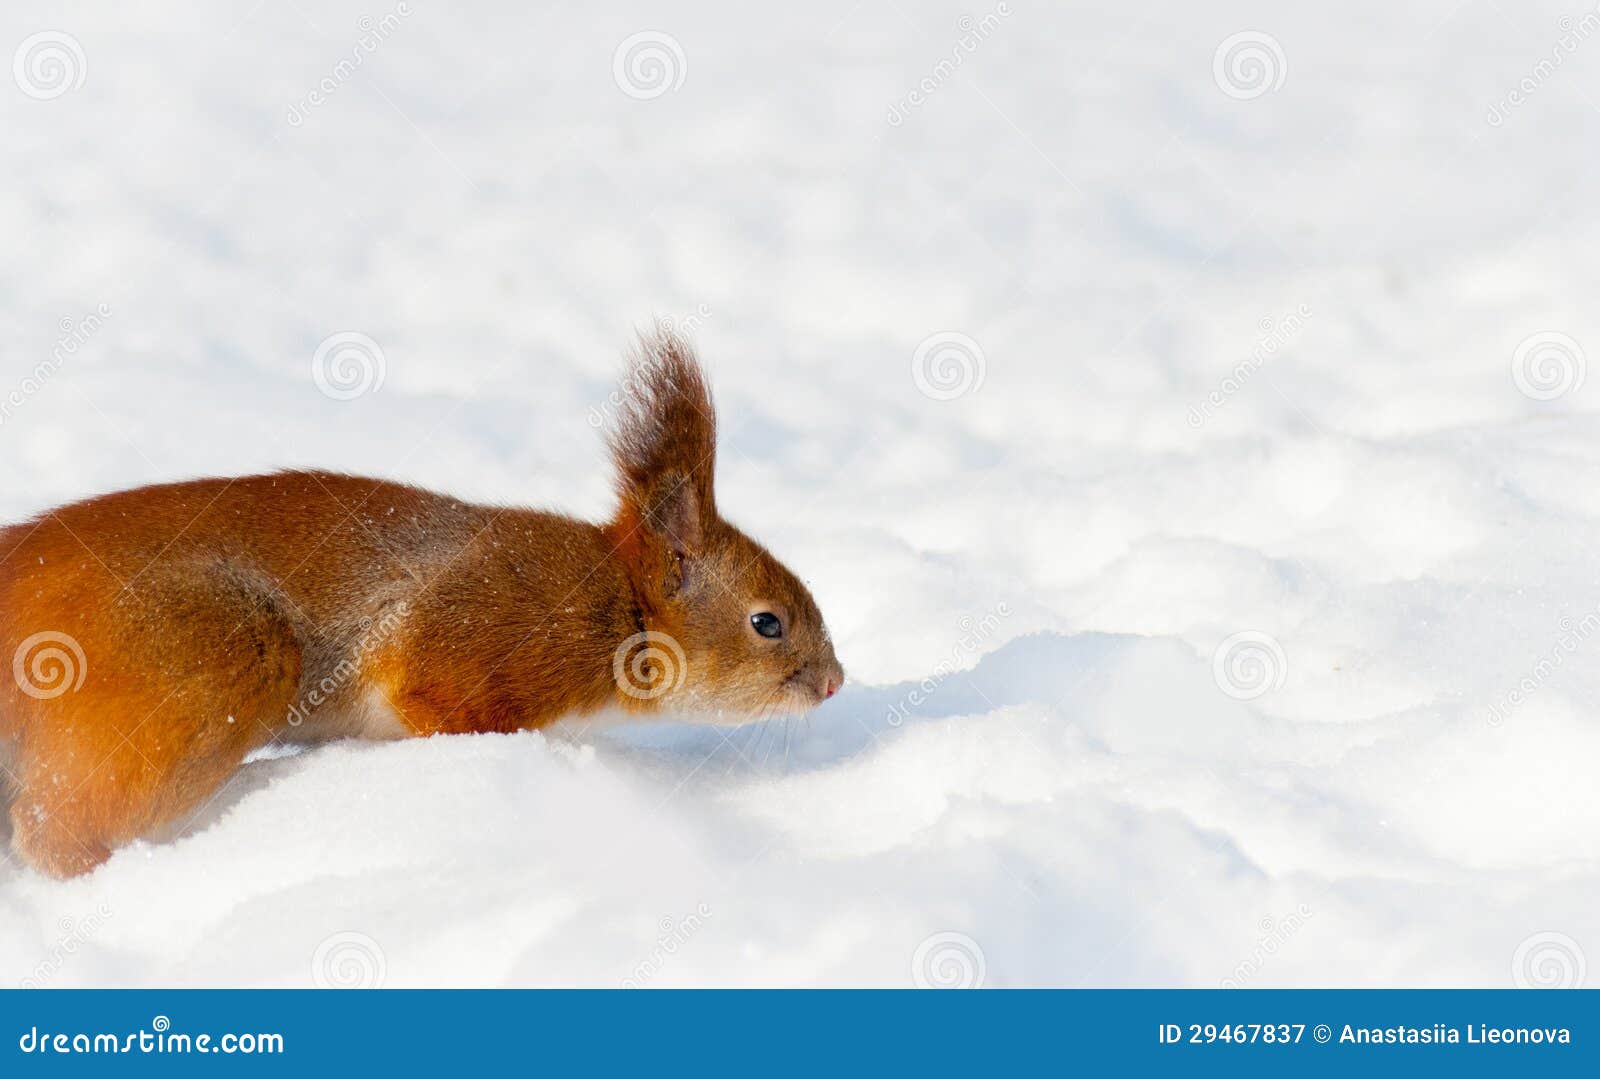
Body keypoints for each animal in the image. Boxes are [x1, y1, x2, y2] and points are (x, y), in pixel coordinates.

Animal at [0, 330, 843, 878]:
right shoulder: (494, 630)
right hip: (211, 658)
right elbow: (431, 696)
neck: (620, 608)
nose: (834, 682)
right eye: (767, 622)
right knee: (53, 824)